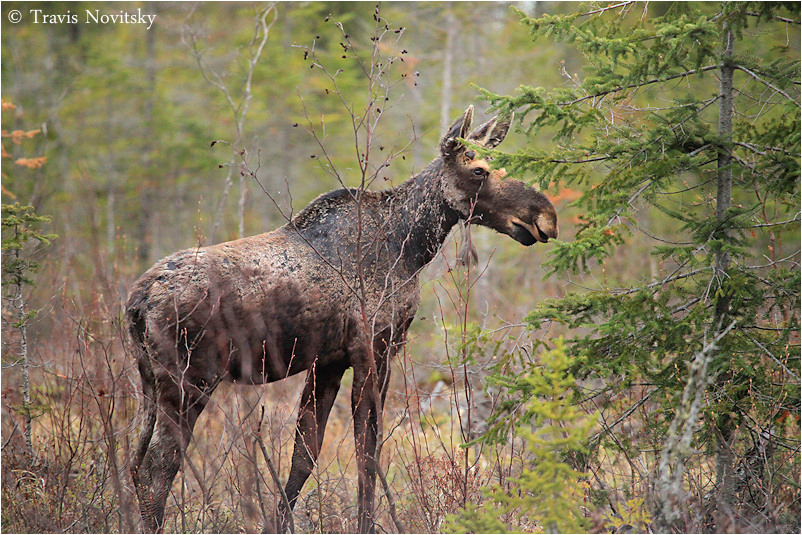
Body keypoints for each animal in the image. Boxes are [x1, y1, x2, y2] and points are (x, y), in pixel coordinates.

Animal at [126, 106, 558, 533]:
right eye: (479, 170)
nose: (546, 215)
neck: (412, 246)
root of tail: (135, 303)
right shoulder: (373, 349)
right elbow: (367, 454)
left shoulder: (328, 361)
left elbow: (303, 457)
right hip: (189, 381)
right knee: (157, 471)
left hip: (150, 383)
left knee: (135, 465)